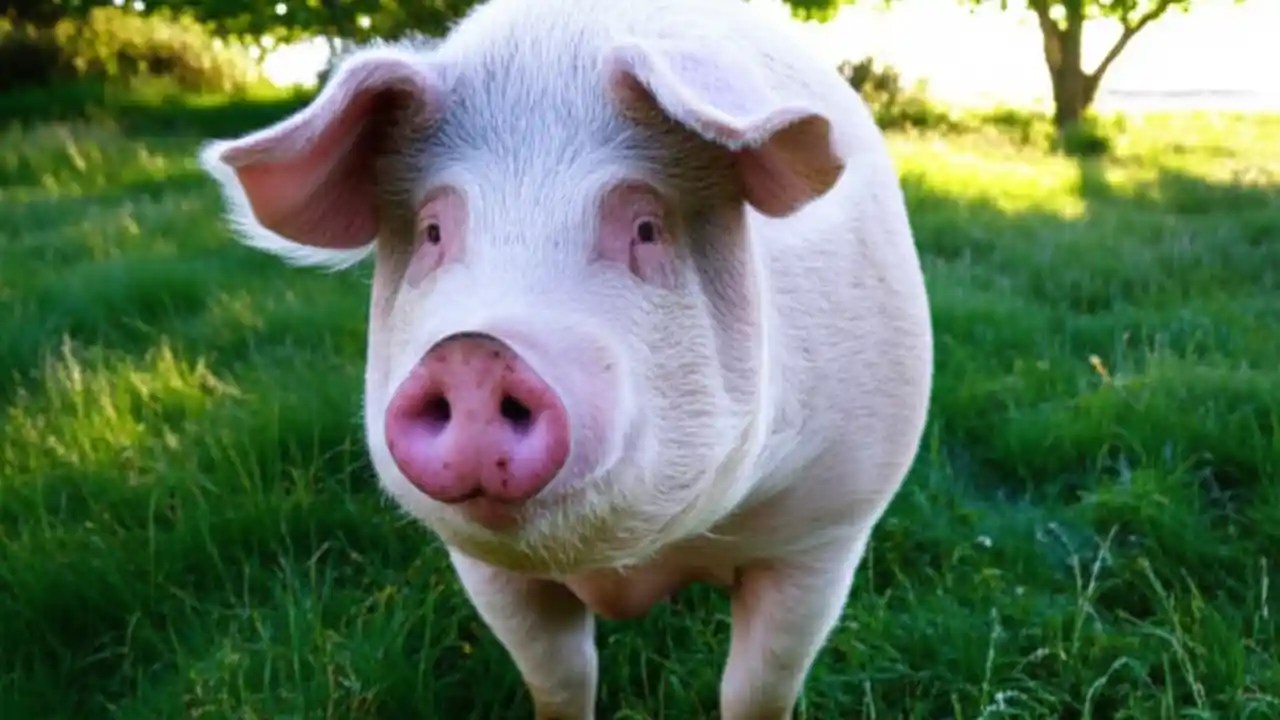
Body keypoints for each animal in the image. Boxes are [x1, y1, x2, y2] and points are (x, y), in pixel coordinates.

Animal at [198, 0, 933, 717]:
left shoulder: (825, 529)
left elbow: (758, 691)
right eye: (433, 231)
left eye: (646, 228)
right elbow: (561, 680)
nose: (473, 353)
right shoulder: (486, 568)